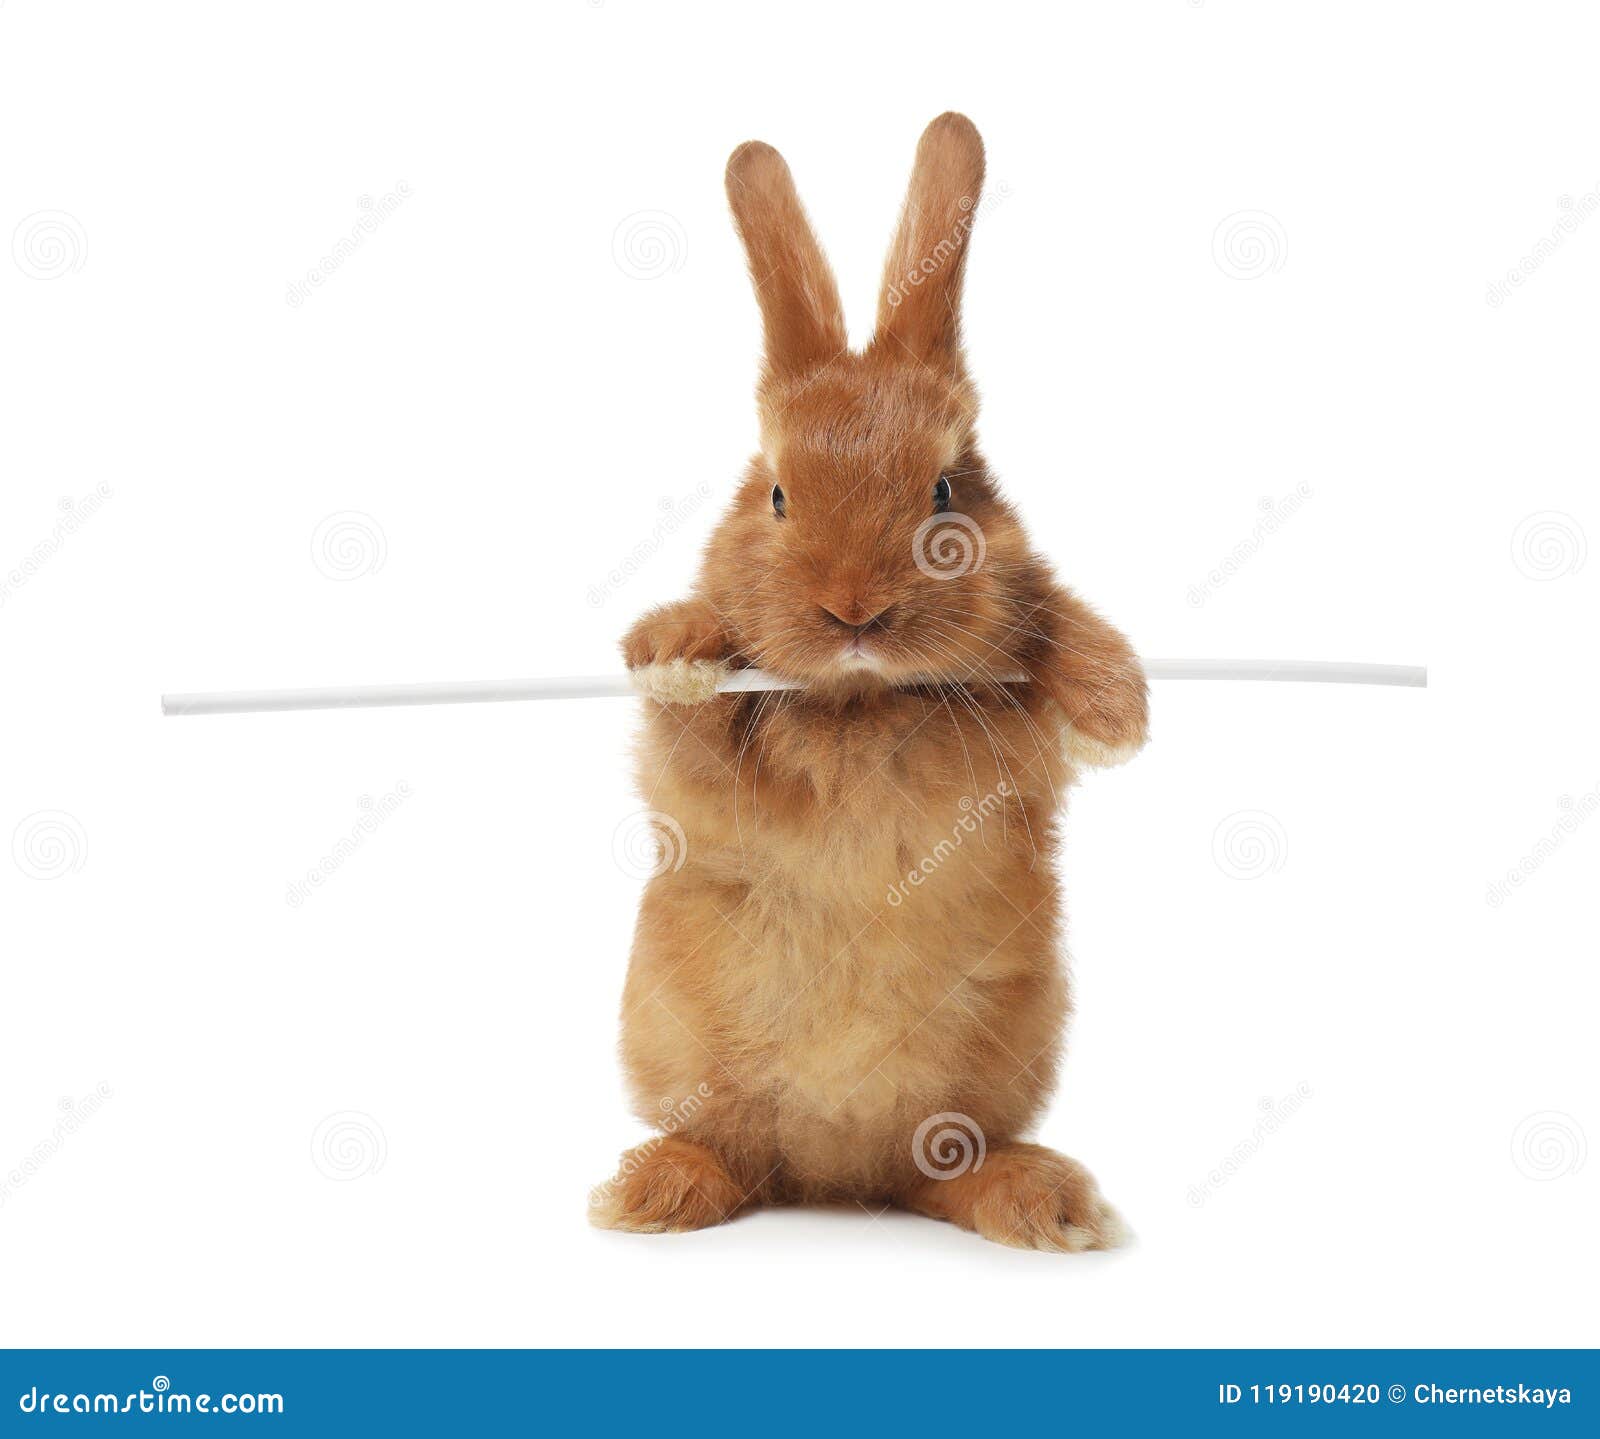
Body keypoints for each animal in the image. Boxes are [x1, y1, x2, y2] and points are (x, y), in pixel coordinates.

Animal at [589, 113, 1148, 1252]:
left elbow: (1064, 627)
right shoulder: (702, 792)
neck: (861, 703)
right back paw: (654, 1189)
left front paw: (1113, 716)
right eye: (775, 492)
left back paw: (1048, 1200)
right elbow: (691, 729)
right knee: (728, 1150)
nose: (854, 611)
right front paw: (678, 650)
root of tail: (835, 1175)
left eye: (944, 488)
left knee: (945, 1167)